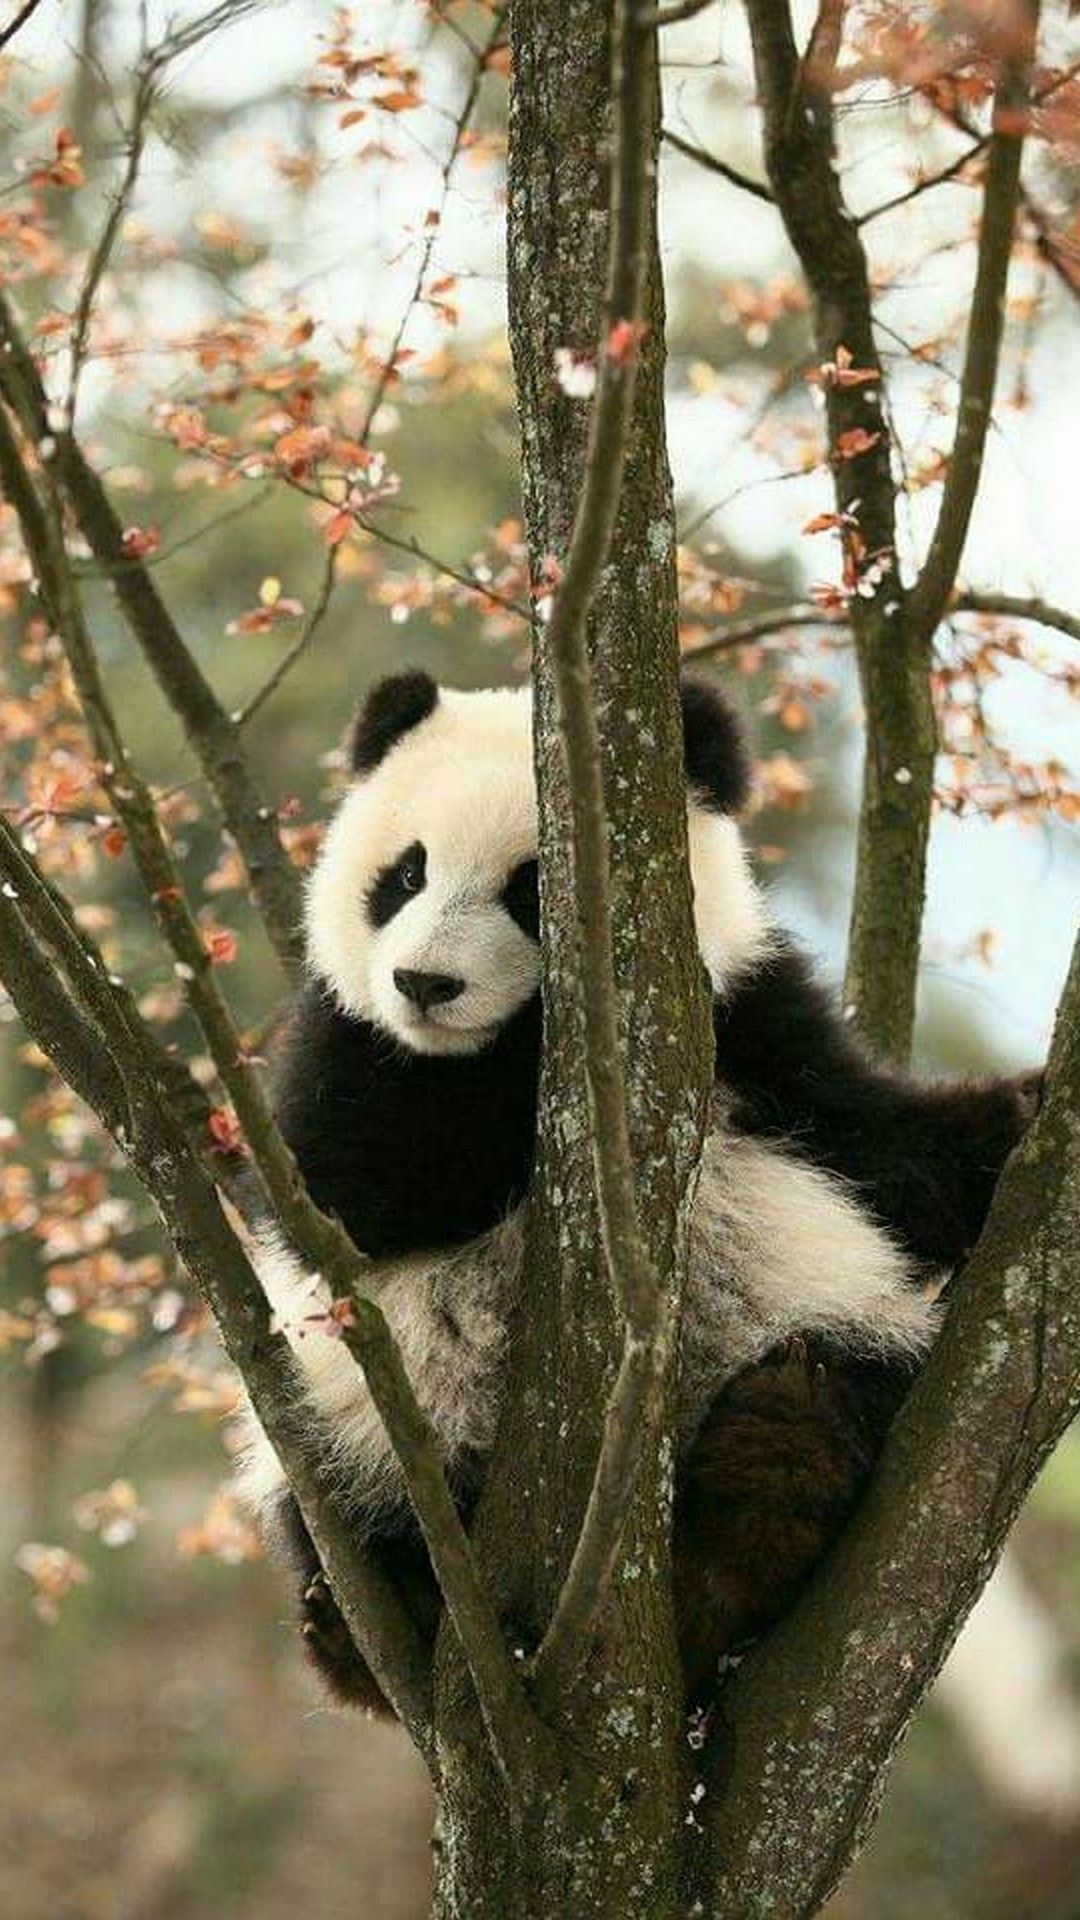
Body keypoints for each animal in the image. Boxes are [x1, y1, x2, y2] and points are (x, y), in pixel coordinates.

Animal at [236, 667, 1040, 1710]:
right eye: (405, 875)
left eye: (530, 891)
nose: (424, 983)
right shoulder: (340, 1048)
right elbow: (358, 1193)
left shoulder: (753, 1022)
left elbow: (887, 1151)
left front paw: (1020, 1112)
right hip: (360, 1420)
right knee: (334, 1505)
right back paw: (363, 1626)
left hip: (822, 1333)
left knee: (832, 1392)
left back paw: (755, 1502)